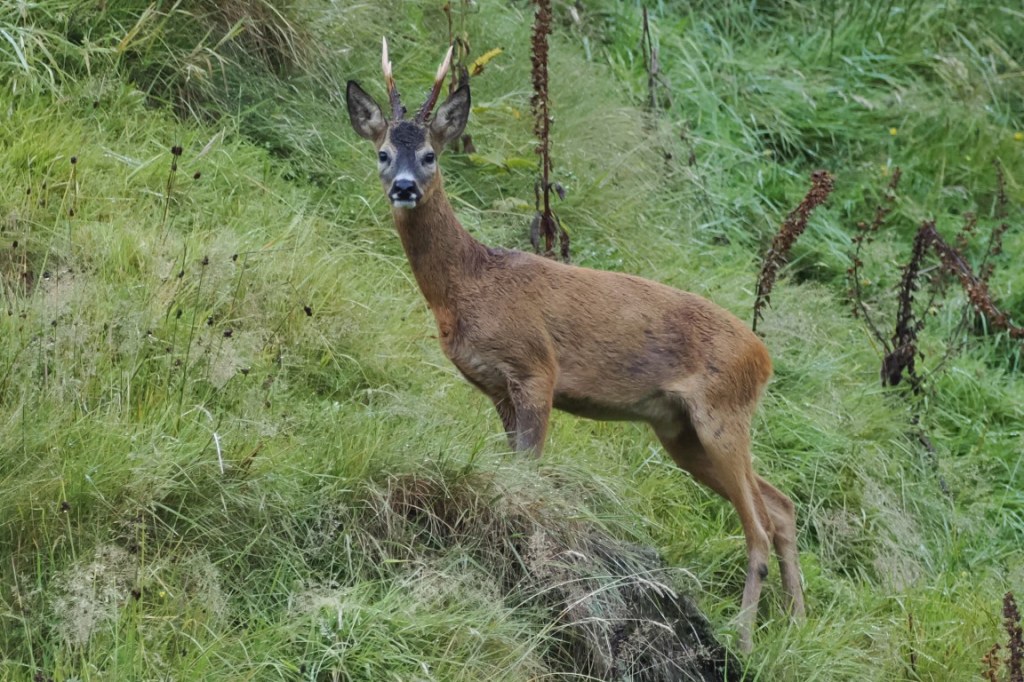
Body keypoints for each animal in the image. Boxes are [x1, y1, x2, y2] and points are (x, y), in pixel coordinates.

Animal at [345, 39, 804, 652]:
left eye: (429, 156)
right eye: (382, 153)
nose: (403, 188)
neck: (470, 284)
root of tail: (765, 358)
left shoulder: (537, 368)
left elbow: (531, 471)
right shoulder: (497, 388)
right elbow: (512, 469)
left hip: (721, 415)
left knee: (757, 526)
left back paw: (746, 638)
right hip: (681, 432)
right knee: (780, 505)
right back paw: (798, 625)